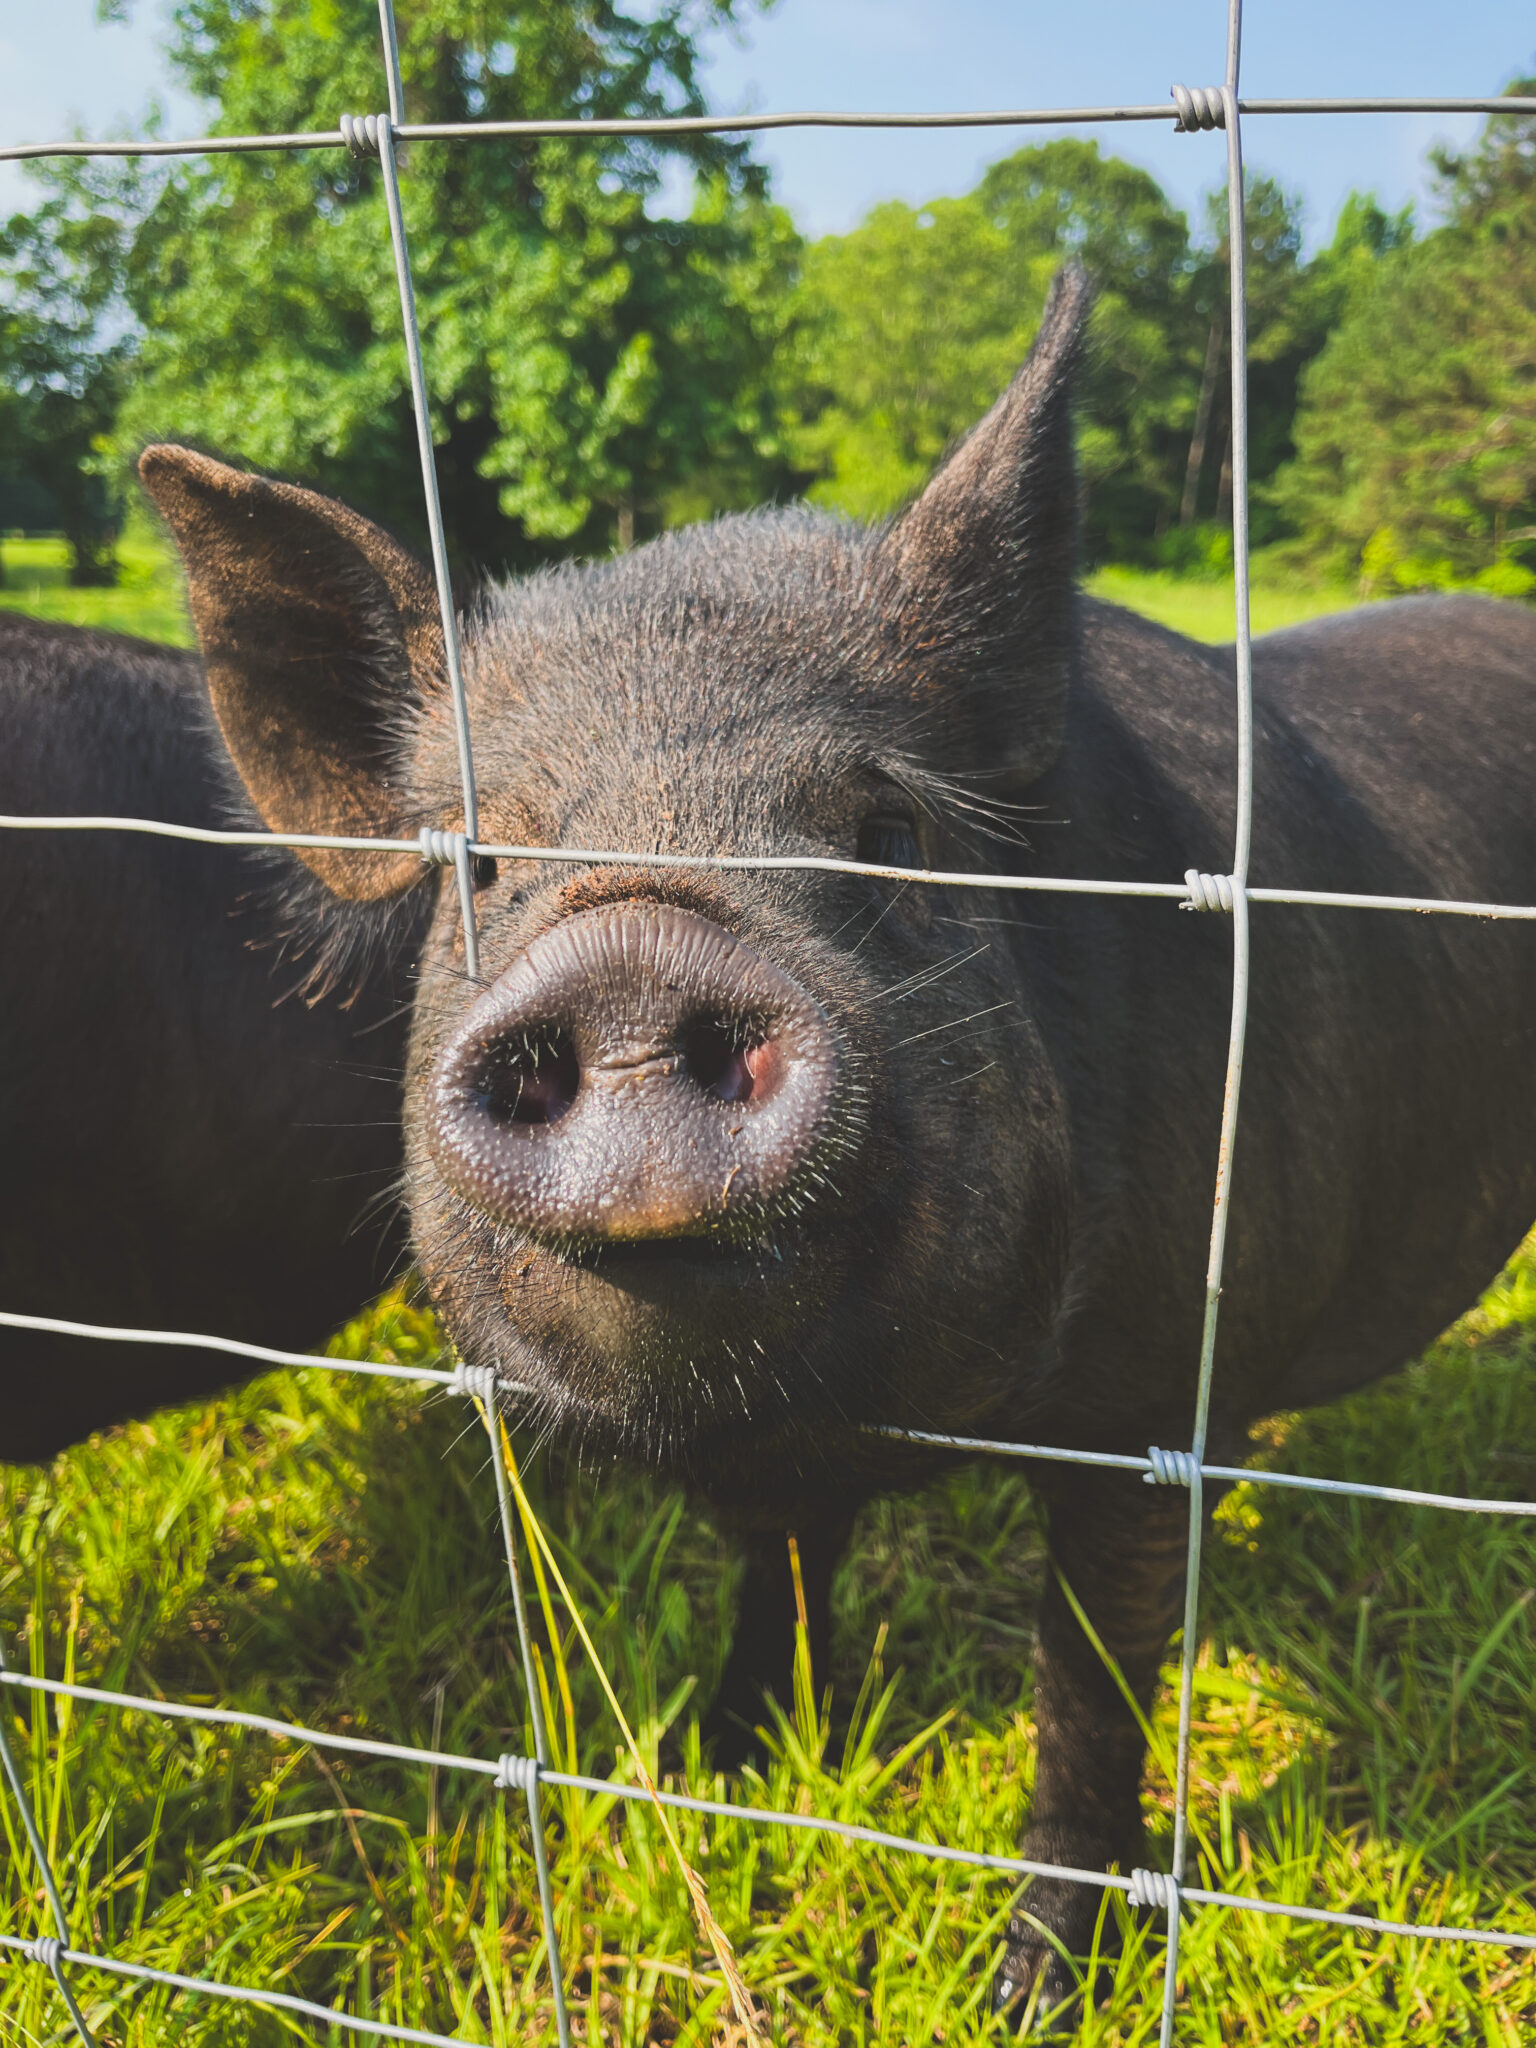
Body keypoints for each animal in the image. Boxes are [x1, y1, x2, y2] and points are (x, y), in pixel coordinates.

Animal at [95, 263, 1536, 2008]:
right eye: (485, 863)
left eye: (889, 831)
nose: (636, 963)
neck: (876, 1421)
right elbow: (776, 1571)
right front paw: (712, 1766)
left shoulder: (1154, 1407)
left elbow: (1090, 1686)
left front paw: (1027, 1992)